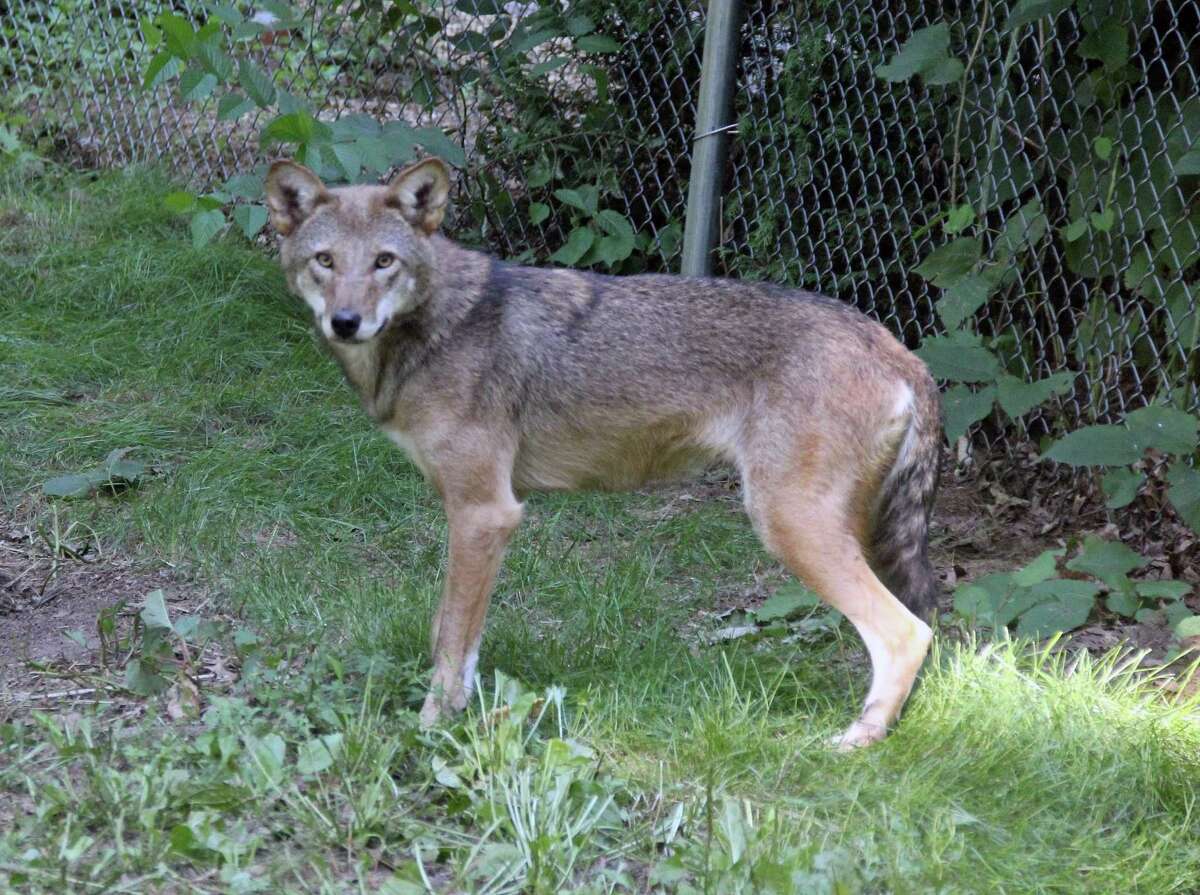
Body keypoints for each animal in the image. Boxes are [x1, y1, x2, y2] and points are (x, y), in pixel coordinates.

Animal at [265, 157, 942, 748]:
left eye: (384, 262)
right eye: (325, 261)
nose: (346, 321)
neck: (437, 329)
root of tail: (900, 352)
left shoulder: (485, 513)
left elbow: (452, 641)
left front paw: (430, 729)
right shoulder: (475, 519)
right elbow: (453, 634)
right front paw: (455, 713)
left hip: (789, 527)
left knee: (907, 633)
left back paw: (857, 740)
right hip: (850, 533)